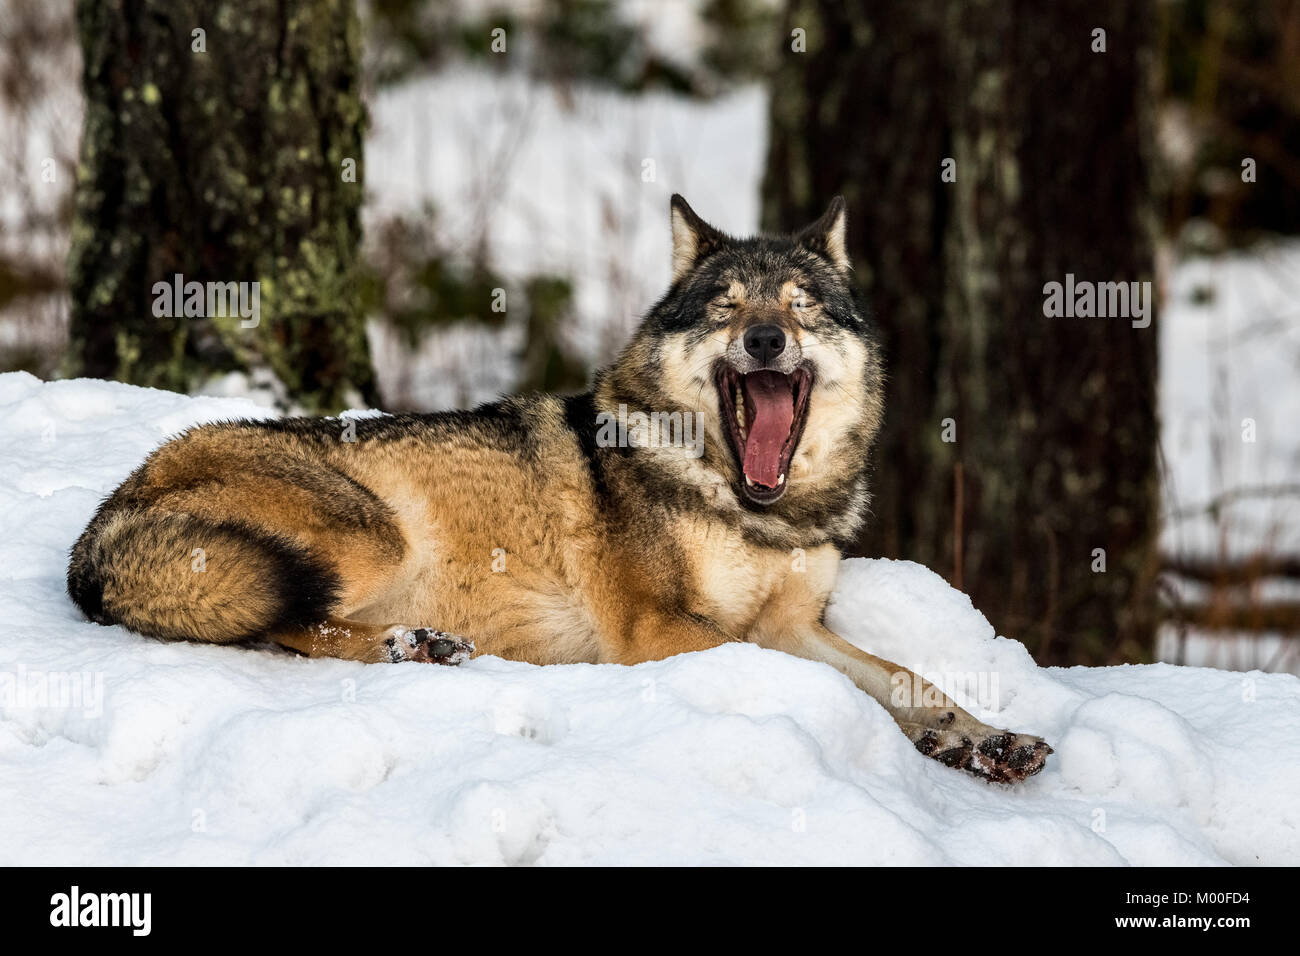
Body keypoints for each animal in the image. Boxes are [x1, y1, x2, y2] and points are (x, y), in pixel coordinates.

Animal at [68, 196, 1051, 782]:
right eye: (728, 306)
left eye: (803, 307)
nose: (767, 340)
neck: (753, 506)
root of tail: (99, 529)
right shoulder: (660, 629)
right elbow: (836, 689)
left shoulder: (792, 624)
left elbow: (909, 678)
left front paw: (984, 737)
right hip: (363, 535)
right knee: (284, 622)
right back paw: (410, 646)